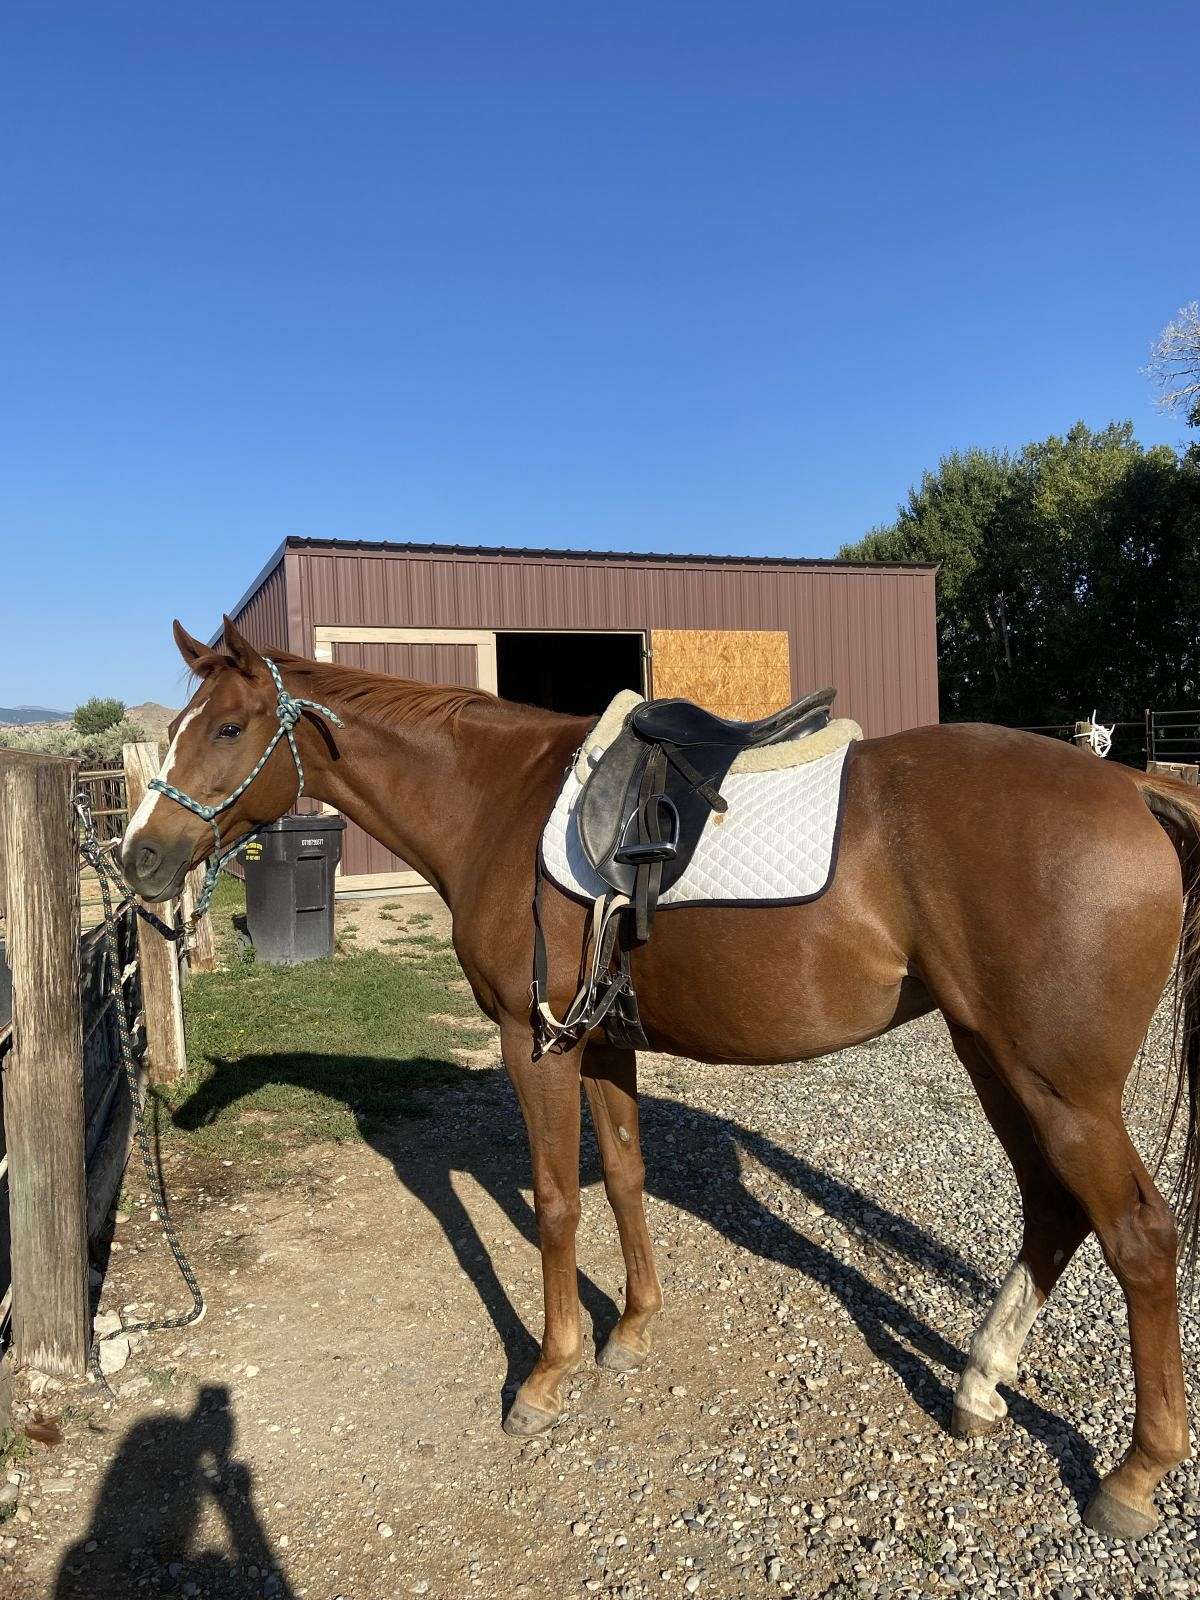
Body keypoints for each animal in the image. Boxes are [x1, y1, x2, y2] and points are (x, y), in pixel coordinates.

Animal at [121, 616, 1199, 1542]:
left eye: (227, 727)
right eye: (173, 732)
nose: (137, 858)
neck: (495, 800)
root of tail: (1133, 790)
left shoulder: (535, 1044)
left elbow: (558, 1201)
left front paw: (546, 1377)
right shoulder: (603, 1043)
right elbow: (627, 1176)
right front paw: (631, 1330)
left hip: (1058, 1085)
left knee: (1140, 1236)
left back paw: (1135, 1474)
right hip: (997, 1058)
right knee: (1054, 1211)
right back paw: (978, 1387)